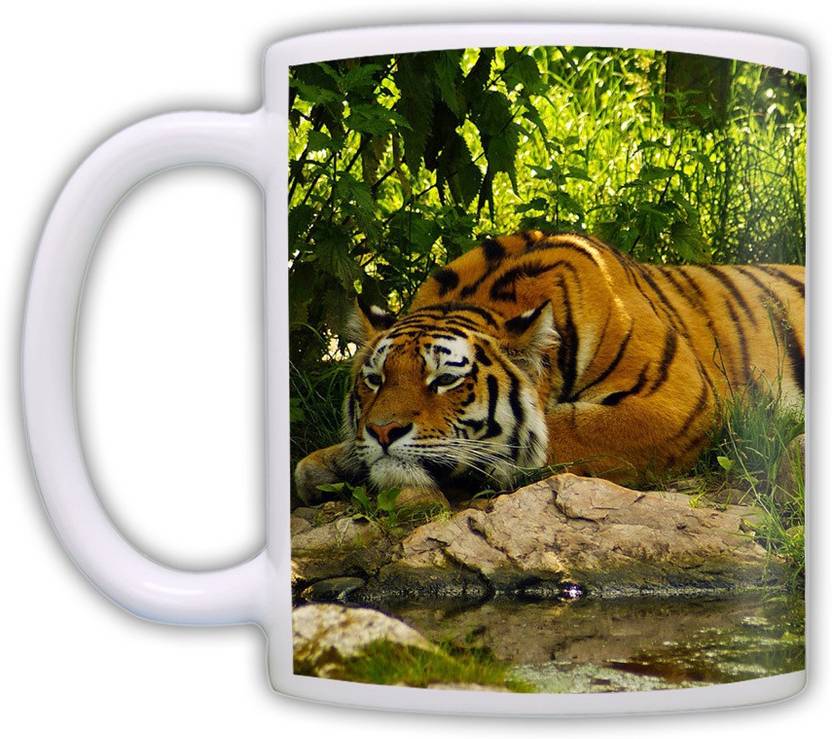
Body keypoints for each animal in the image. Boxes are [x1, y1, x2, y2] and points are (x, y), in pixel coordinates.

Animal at [293, 230, 805, 507]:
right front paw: (329, 464)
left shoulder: (675, 400)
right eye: (375, 380)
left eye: (444, 380)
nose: (383, 432)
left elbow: (568, 430)